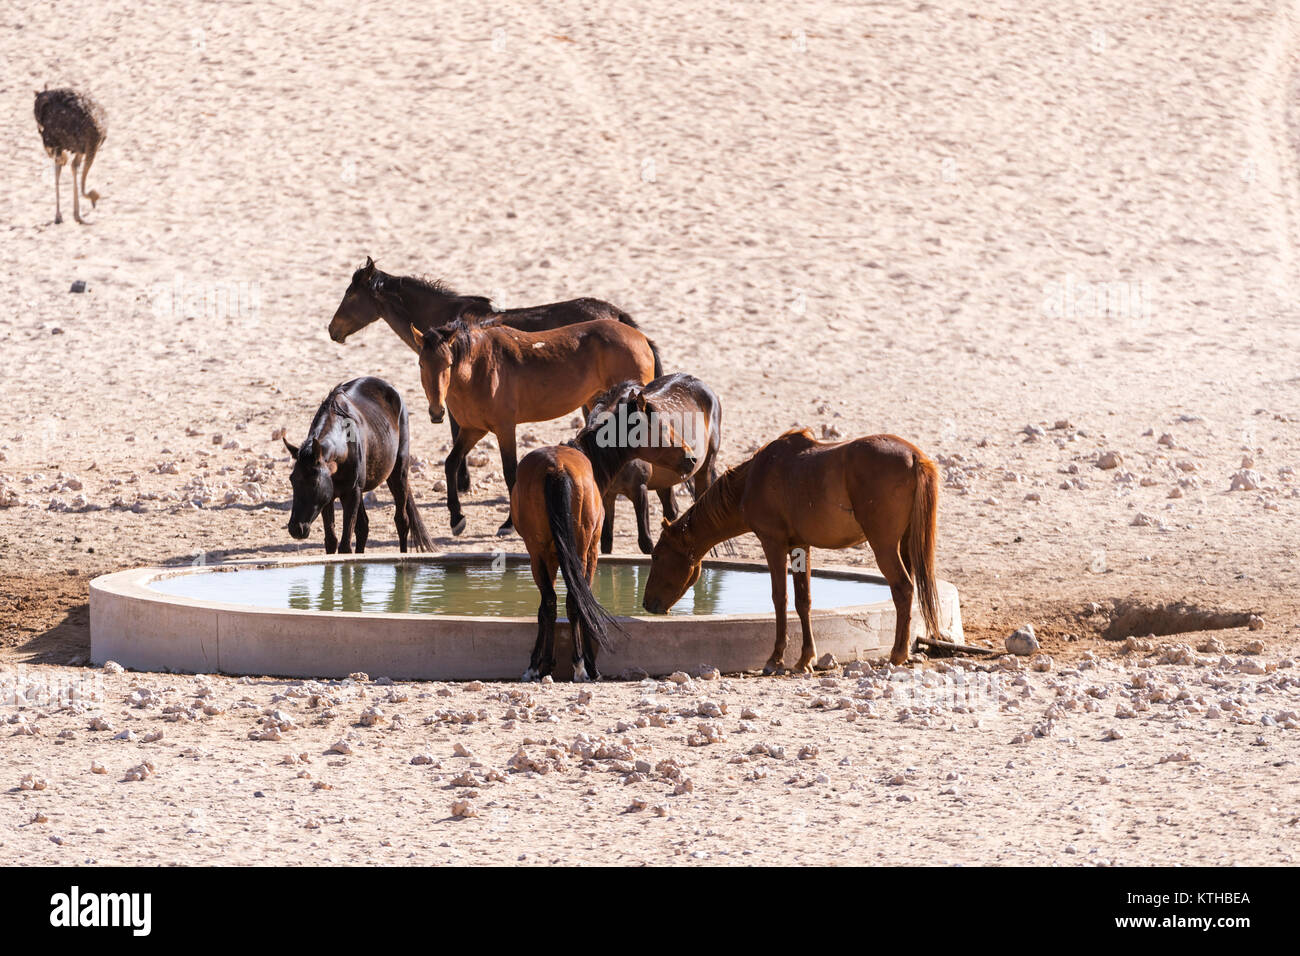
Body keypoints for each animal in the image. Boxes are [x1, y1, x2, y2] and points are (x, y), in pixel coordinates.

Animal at [284, 377, 434, 554]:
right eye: (292, 480)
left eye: (314, 482)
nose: (296, 528)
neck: (344, 446)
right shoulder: (329, 496)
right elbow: (332, 541)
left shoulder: (351, 493)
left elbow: (345, 546)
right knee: (363, 527)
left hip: (398, 474)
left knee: (402, 521)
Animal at [412, 318, 662, 537]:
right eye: (421, 364)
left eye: (448, 364)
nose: (437, 412)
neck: (479, 368)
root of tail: (641, 338)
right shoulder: (472, 430)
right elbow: (451, 463)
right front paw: (456, 519)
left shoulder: (505, 429)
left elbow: (510, 473)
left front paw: (509, 524)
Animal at [513, 389, 698, 681]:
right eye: (660, 427)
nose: (690, 458)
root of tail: (556, 469)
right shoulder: (592, 551)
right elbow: (582, 601)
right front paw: (588, 664)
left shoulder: (549, 557)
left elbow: (547, 607)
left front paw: (542, 664)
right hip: (580, 553)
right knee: (575, 601)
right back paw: (580, 666)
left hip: (538, 554)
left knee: (550, 602)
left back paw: (537, 666)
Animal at [584, 374, 722, 554]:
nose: (690, 457)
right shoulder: (608, 496)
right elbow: (607, 542)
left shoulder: (639, 490)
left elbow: (646, 542)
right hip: (664, 481)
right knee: (671, 511)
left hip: (704, 470)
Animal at [642, 429, 942, 670]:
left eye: (657, 556)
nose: (646, 603)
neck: (754, 479)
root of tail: (914, 456)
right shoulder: (800, 546)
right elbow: (803, 601)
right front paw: (805, 659)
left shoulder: (772, 543)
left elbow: (780, 598)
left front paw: (775, 659)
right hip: (904, 545)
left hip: (884, 546)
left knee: (903, 589)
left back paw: (897, 654)